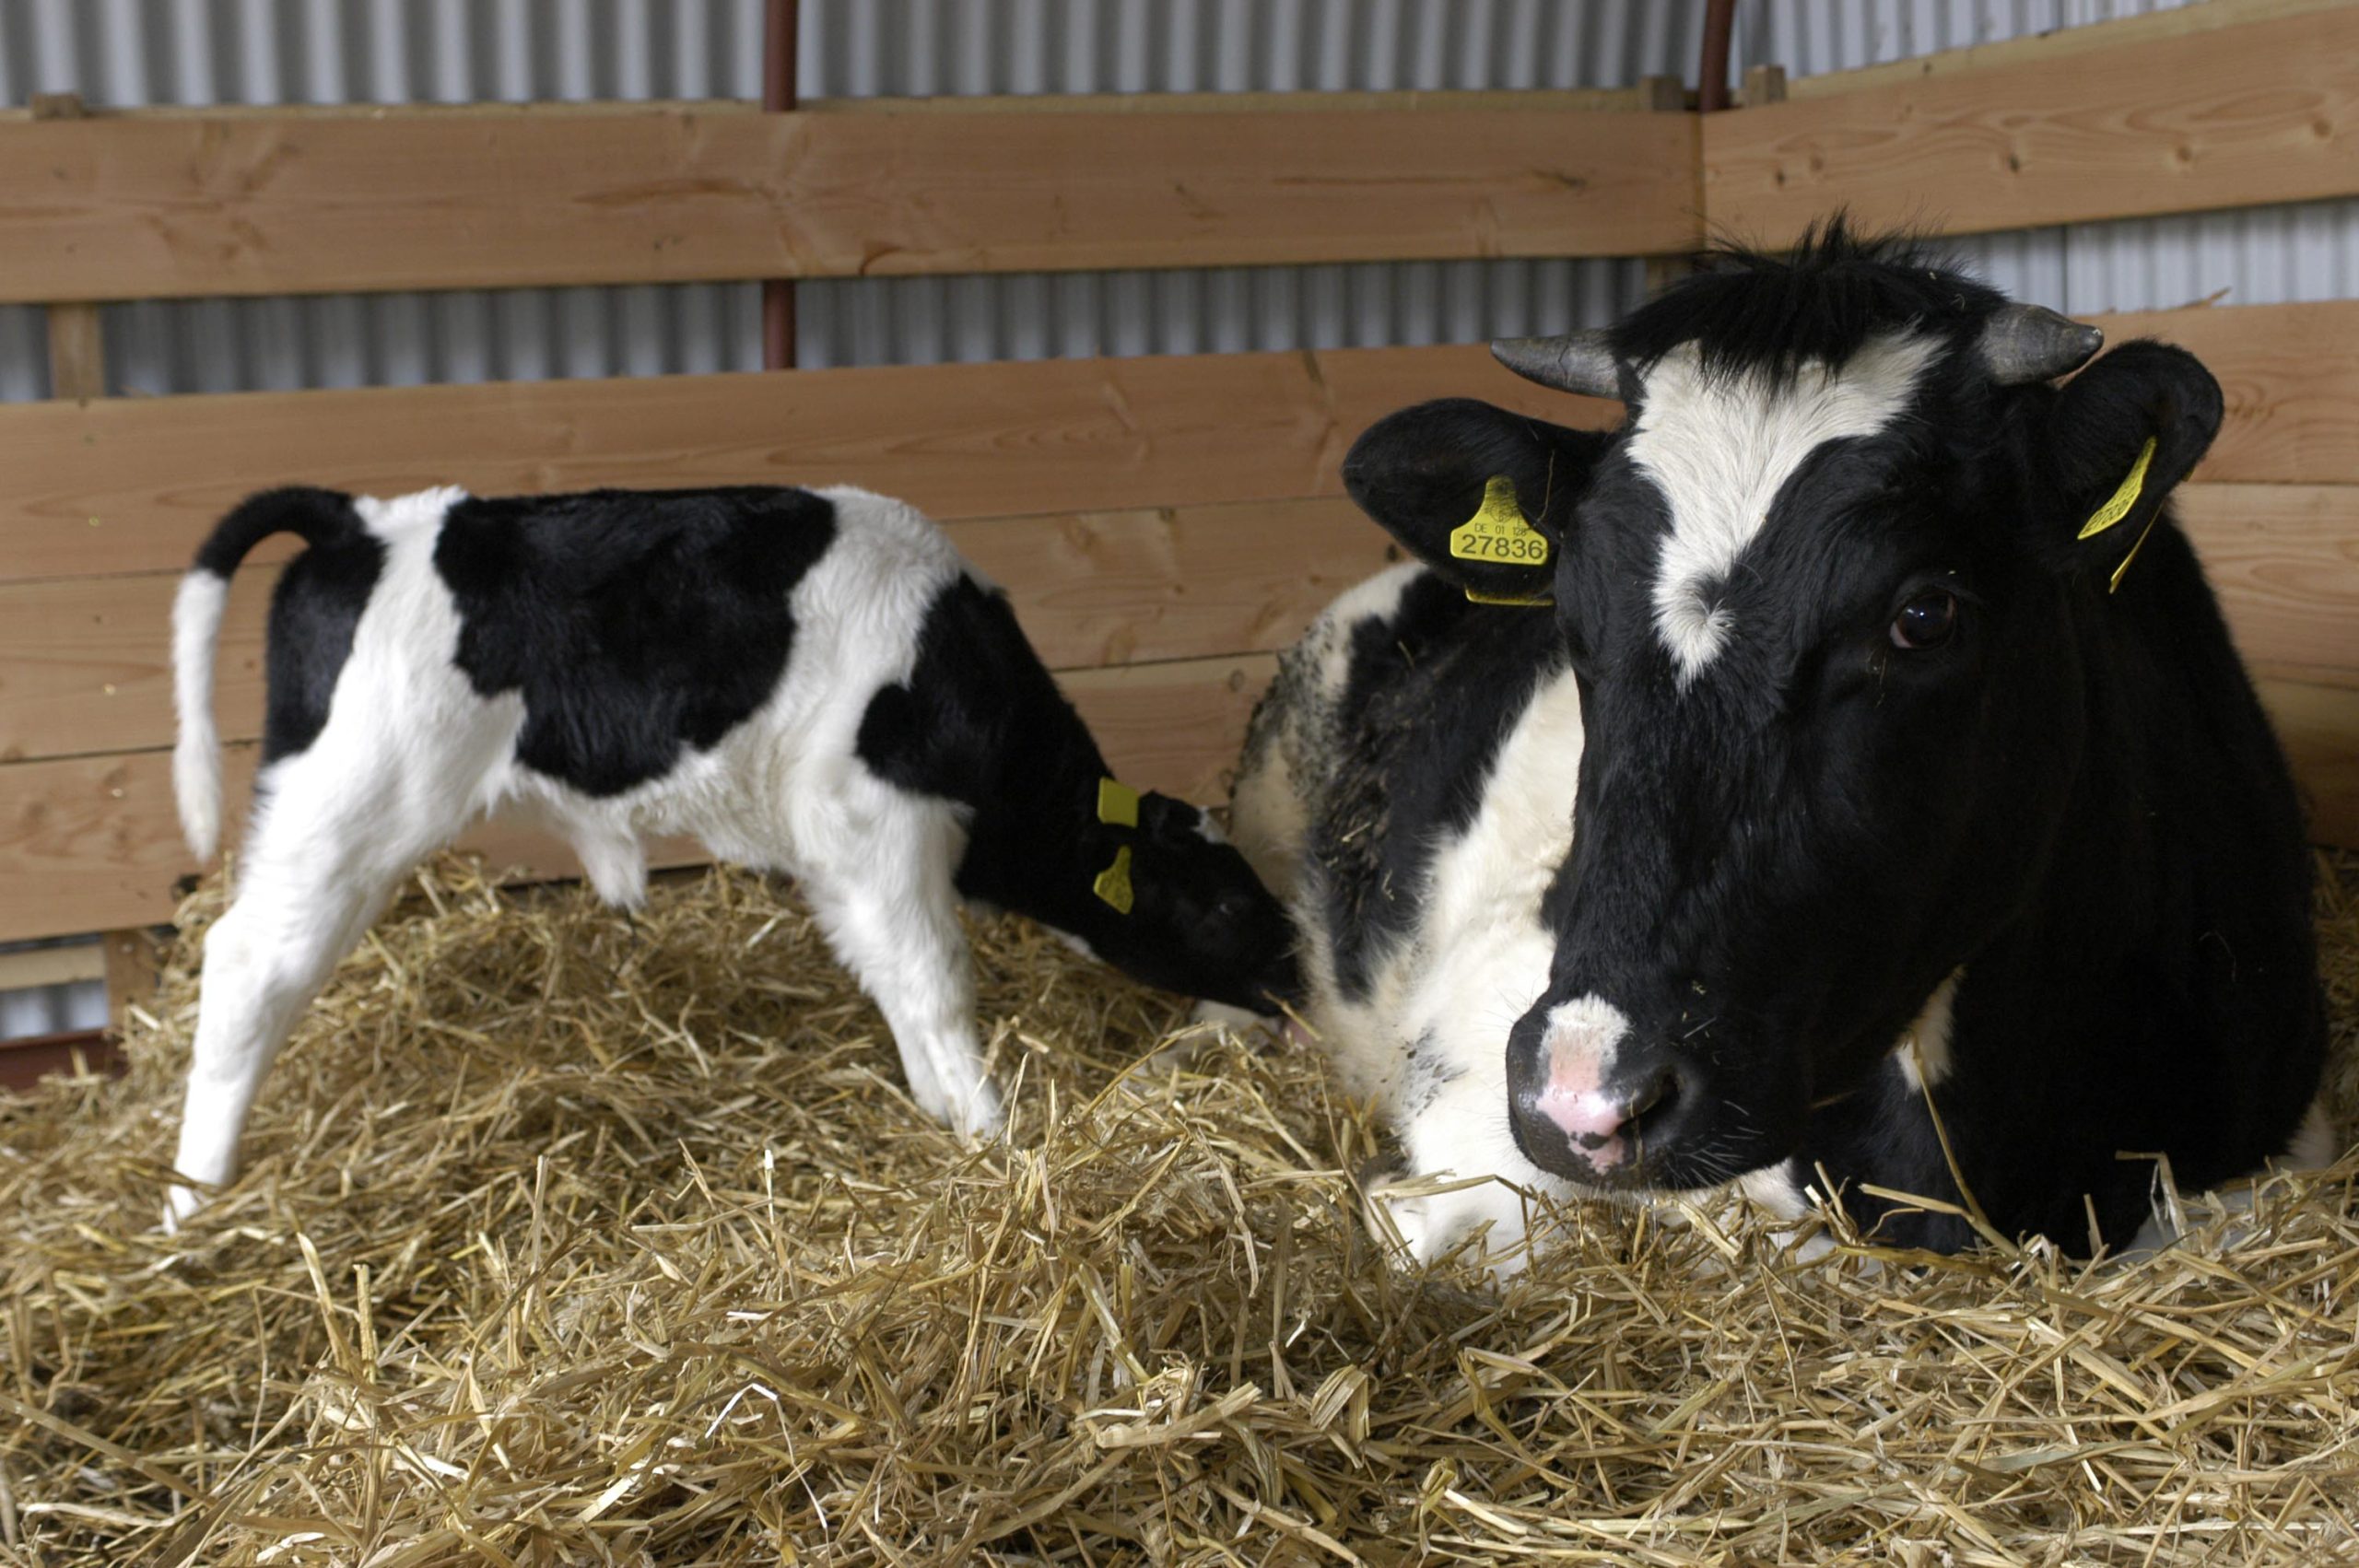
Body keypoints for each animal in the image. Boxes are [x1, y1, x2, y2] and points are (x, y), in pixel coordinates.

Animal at [167, 482, 1298, 1222]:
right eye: (1223, 903)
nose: (1295, 977)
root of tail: (363, 520)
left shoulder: (842, 851)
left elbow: (887, 972)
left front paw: (940, 1110)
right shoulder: (883, 821)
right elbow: (935, 979)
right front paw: (998, 1135)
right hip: (352, 801)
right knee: (246, 964)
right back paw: (193, 1203)